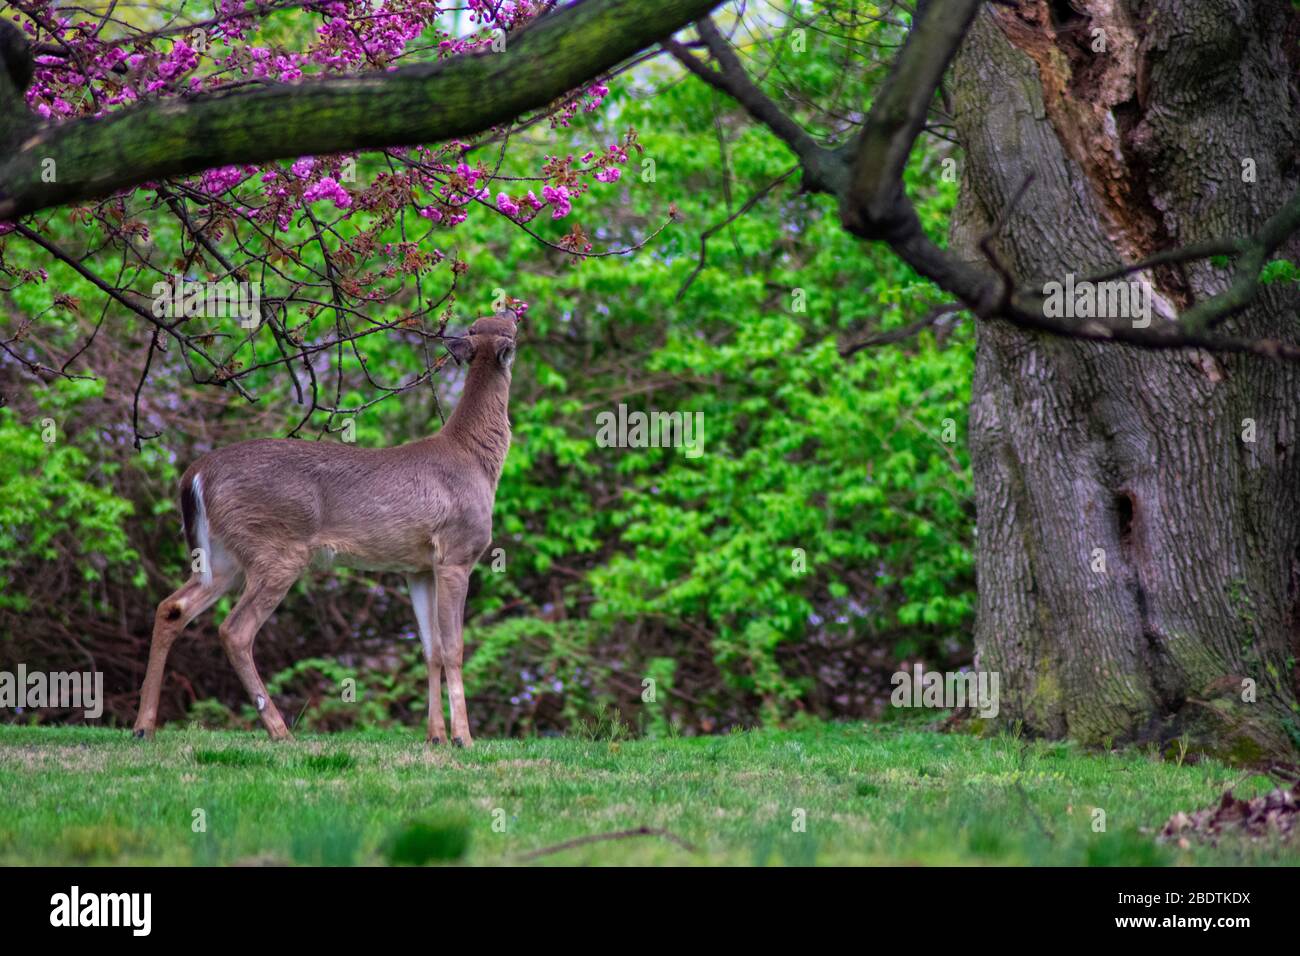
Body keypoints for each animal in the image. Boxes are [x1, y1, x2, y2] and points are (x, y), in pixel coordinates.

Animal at [132, 313, 518, 747]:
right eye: (507, 327)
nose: (514, 311)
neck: (474, 459)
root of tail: (194, 475)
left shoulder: (417, 567)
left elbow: (430, 648)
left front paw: (434, 736)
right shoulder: (457, 553)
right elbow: (454, 647)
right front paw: (462, 739)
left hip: (222, 555)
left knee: (172, 608)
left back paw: (143, 726)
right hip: (276, 550)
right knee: (234, 630)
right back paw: (280, 730)